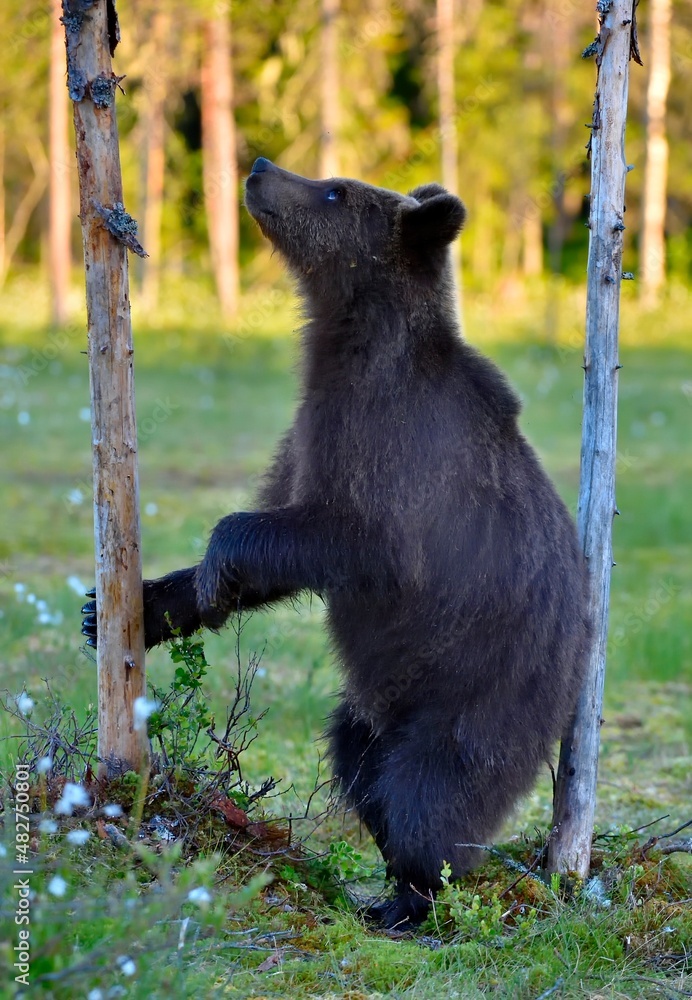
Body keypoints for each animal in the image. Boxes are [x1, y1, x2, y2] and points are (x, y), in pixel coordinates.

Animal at [83, 157, 591, 929]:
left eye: (333, 190)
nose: (260, 167)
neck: (351, 343)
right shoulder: (308, 434)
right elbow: (283, 541)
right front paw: (135, 605)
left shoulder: (393, 456)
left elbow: (353, 541)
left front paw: (216, 560)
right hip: (384, 701)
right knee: (358, 758)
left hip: (485, 685)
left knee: (430, 787)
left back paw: (411, 897)